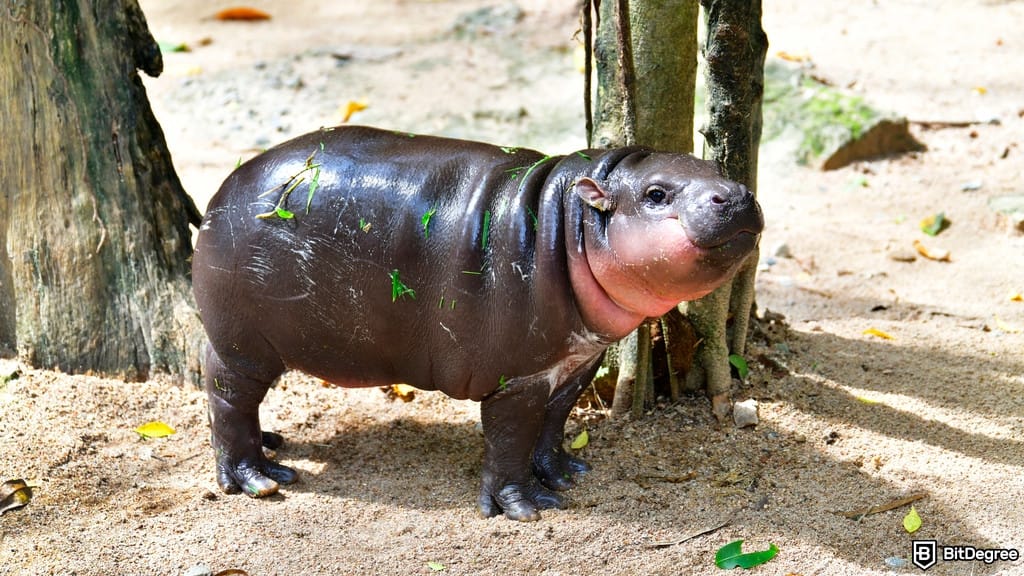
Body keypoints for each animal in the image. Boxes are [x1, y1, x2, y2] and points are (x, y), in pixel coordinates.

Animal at [192, 125, 763, 521]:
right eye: (656, 194)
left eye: (716, 164)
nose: (737, 194)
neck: (570, 222)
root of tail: (226, 186)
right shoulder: (517, 378)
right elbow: (510, 440)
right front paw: (525, 508)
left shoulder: (575, 364)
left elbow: (552, 426)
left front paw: (565, 475)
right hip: (243, 343)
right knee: (226, 395)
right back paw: (260, 479)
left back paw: (273, 444)